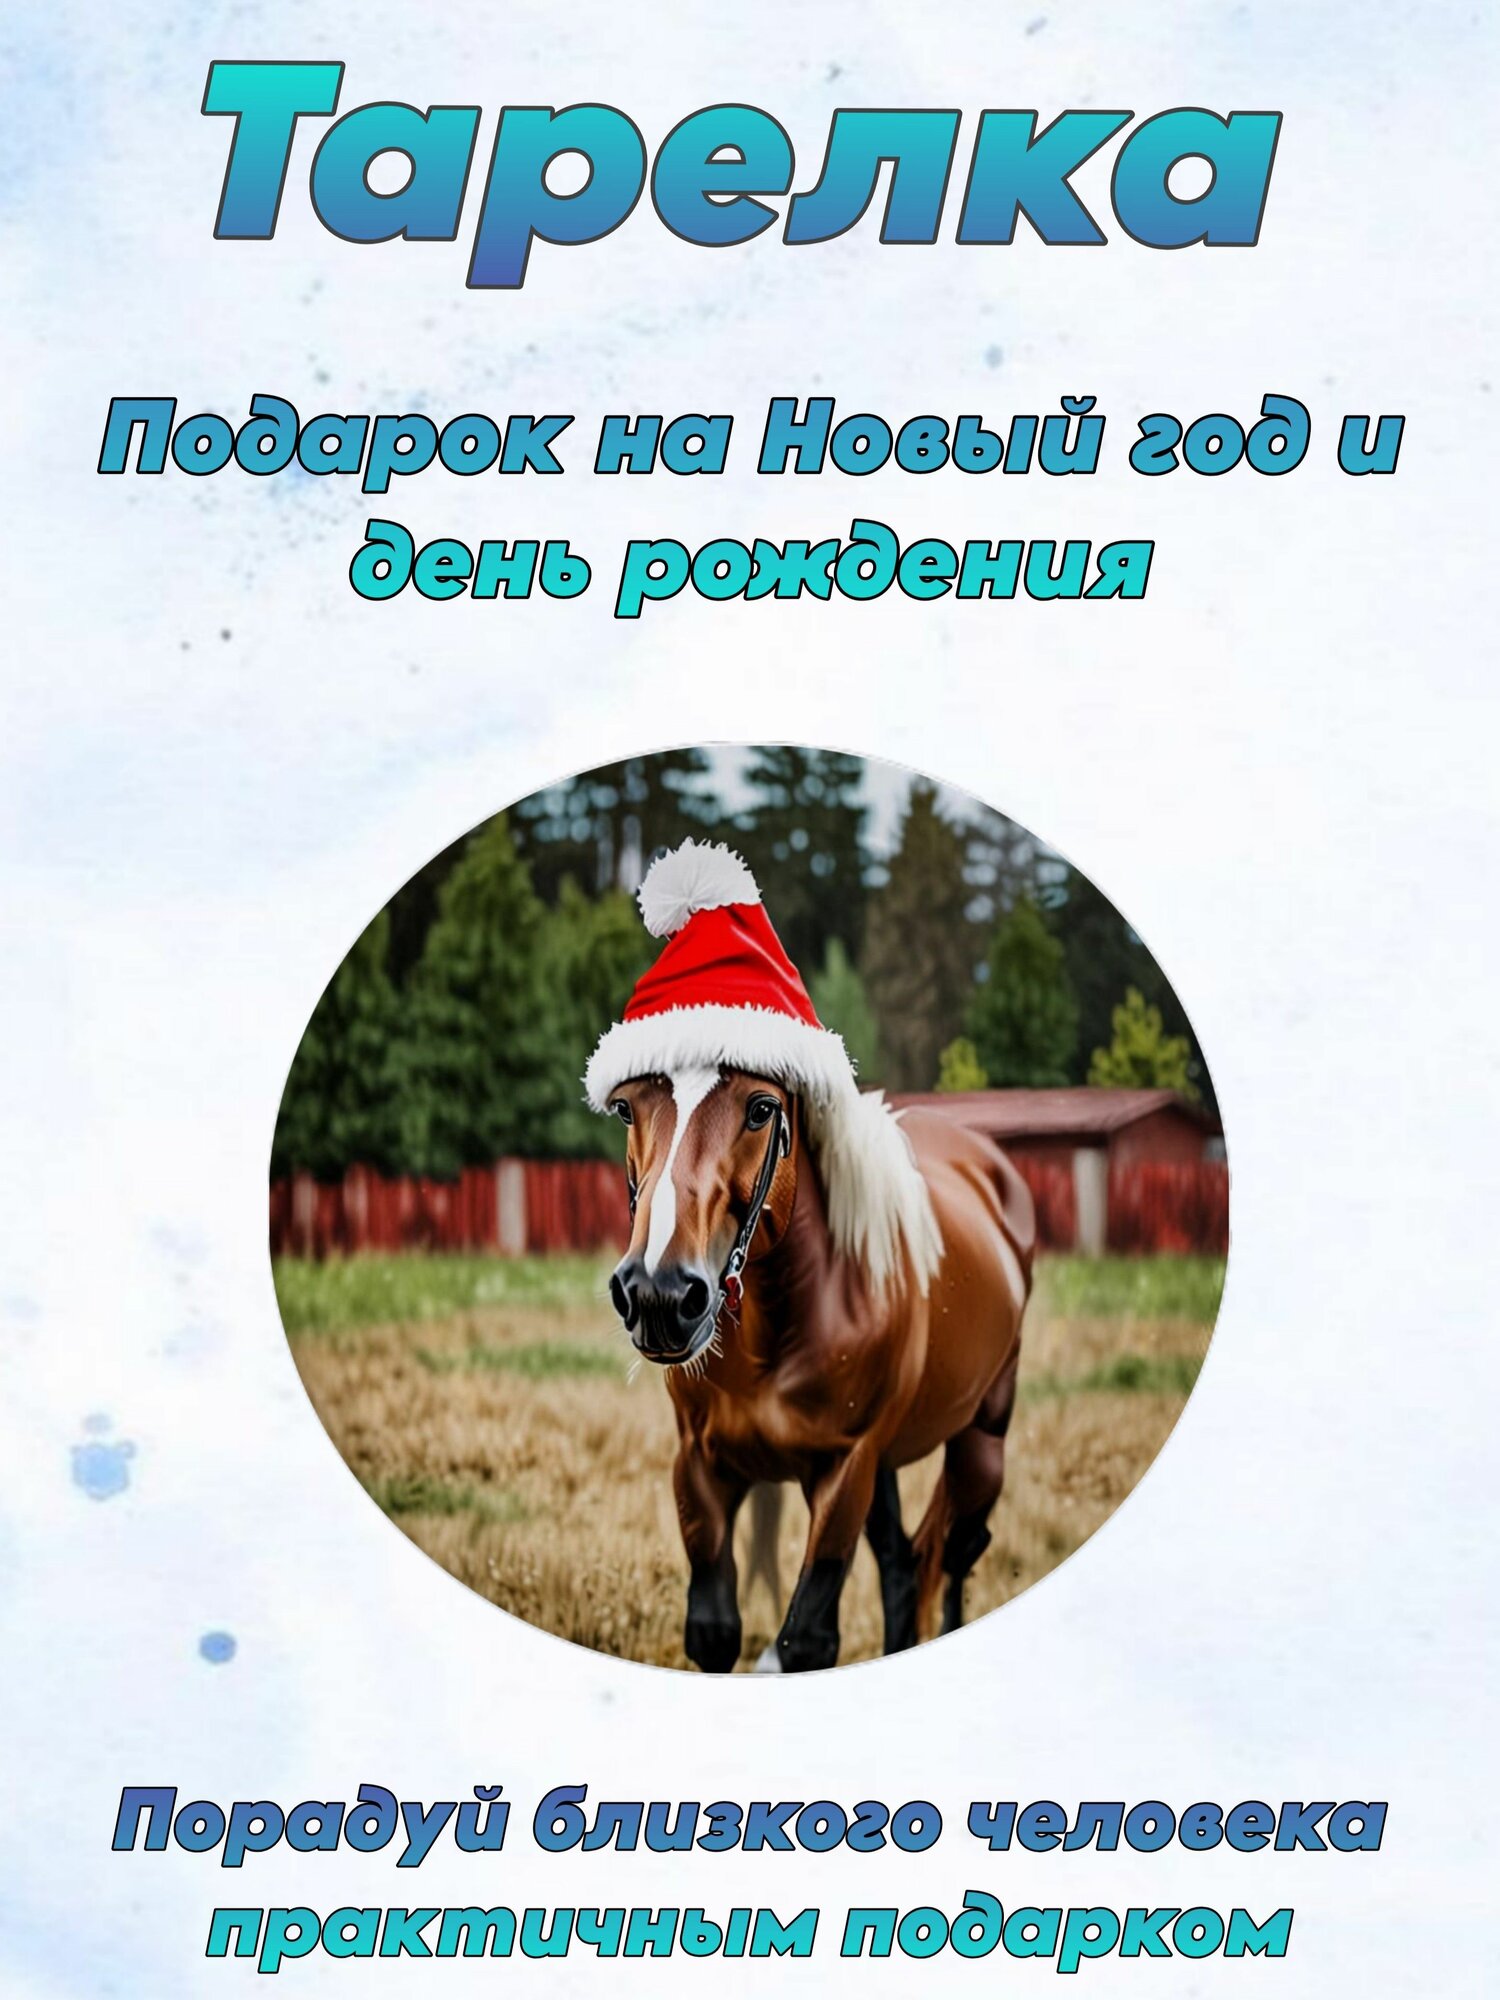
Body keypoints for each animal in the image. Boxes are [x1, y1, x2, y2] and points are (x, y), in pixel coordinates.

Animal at [603, 1067, 1035, 1672]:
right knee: (903, 1566)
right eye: (626, 1108)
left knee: (954, 1555)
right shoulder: (700, 1462)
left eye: (761, 1109)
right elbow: (714, 1631)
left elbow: (806, 1639)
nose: (657, 1295)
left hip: (979, 1445)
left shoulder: (844, 1470)